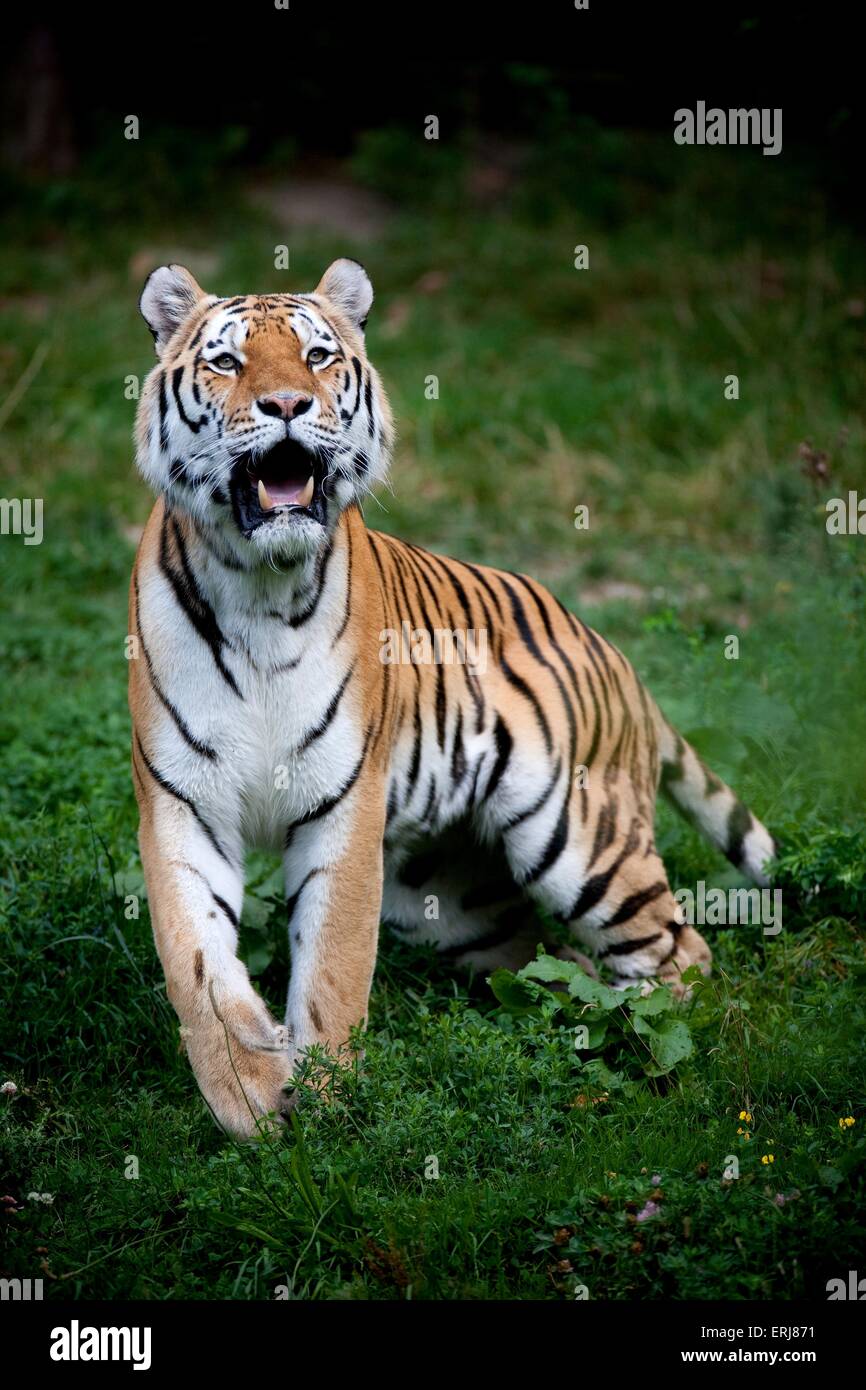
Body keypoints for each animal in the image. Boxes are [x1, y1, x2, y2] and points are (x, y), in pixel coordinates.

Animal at [129, 258, 776, 1138]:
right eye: (227, 362)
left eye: (318, 357)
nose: (287, 405)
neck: (259, 585)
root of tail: (611, 650)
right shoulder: (183, 803)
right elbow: (196, 967)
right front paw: (250, 1096)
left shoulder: (344, 804)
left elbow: (332, 972)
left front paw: (327, 1105)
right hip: (451, 896)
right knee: (551, 956)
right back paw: (576, 1023)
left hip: (583, 842)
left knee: (679, 951)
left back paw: (652, 1053)